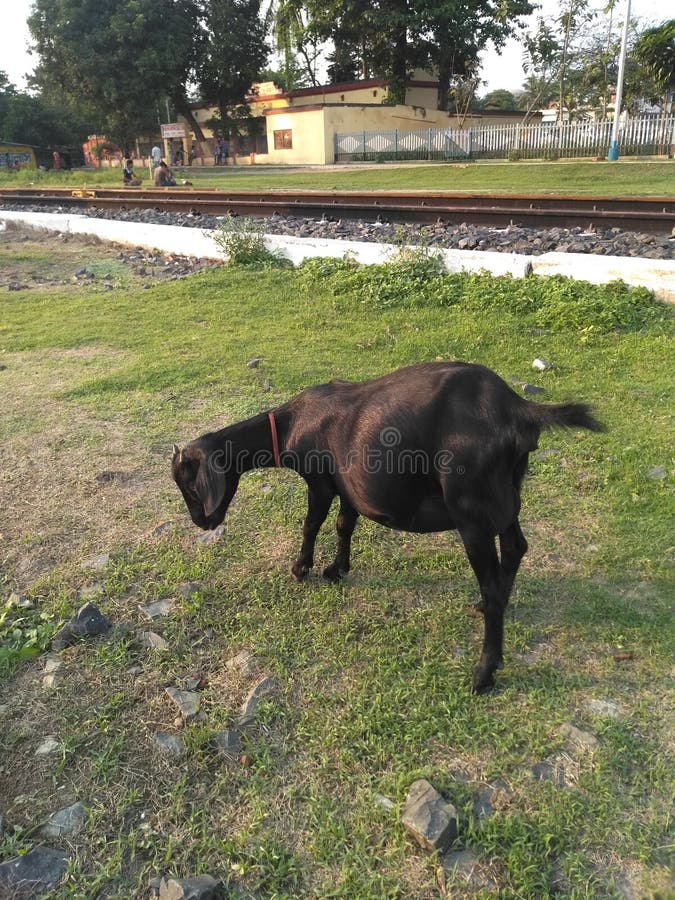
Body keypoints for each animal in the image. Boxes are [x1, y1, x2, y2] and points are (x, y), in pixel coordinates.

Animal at [172, 362, 603, 693]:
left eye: (191, 485)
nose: (203, 521)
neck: (293, 422)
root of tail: (517, 409)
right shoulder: (348, 486)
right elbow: (344, 525)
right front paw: (337, 569)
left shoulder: (320, 481)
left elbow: (312, 524)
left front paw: (301, 568)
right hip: (507, 493)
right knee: (515, 548)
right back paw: (489, 606)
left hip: (471, 509)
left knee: (493, 576)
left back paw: (484, 672)